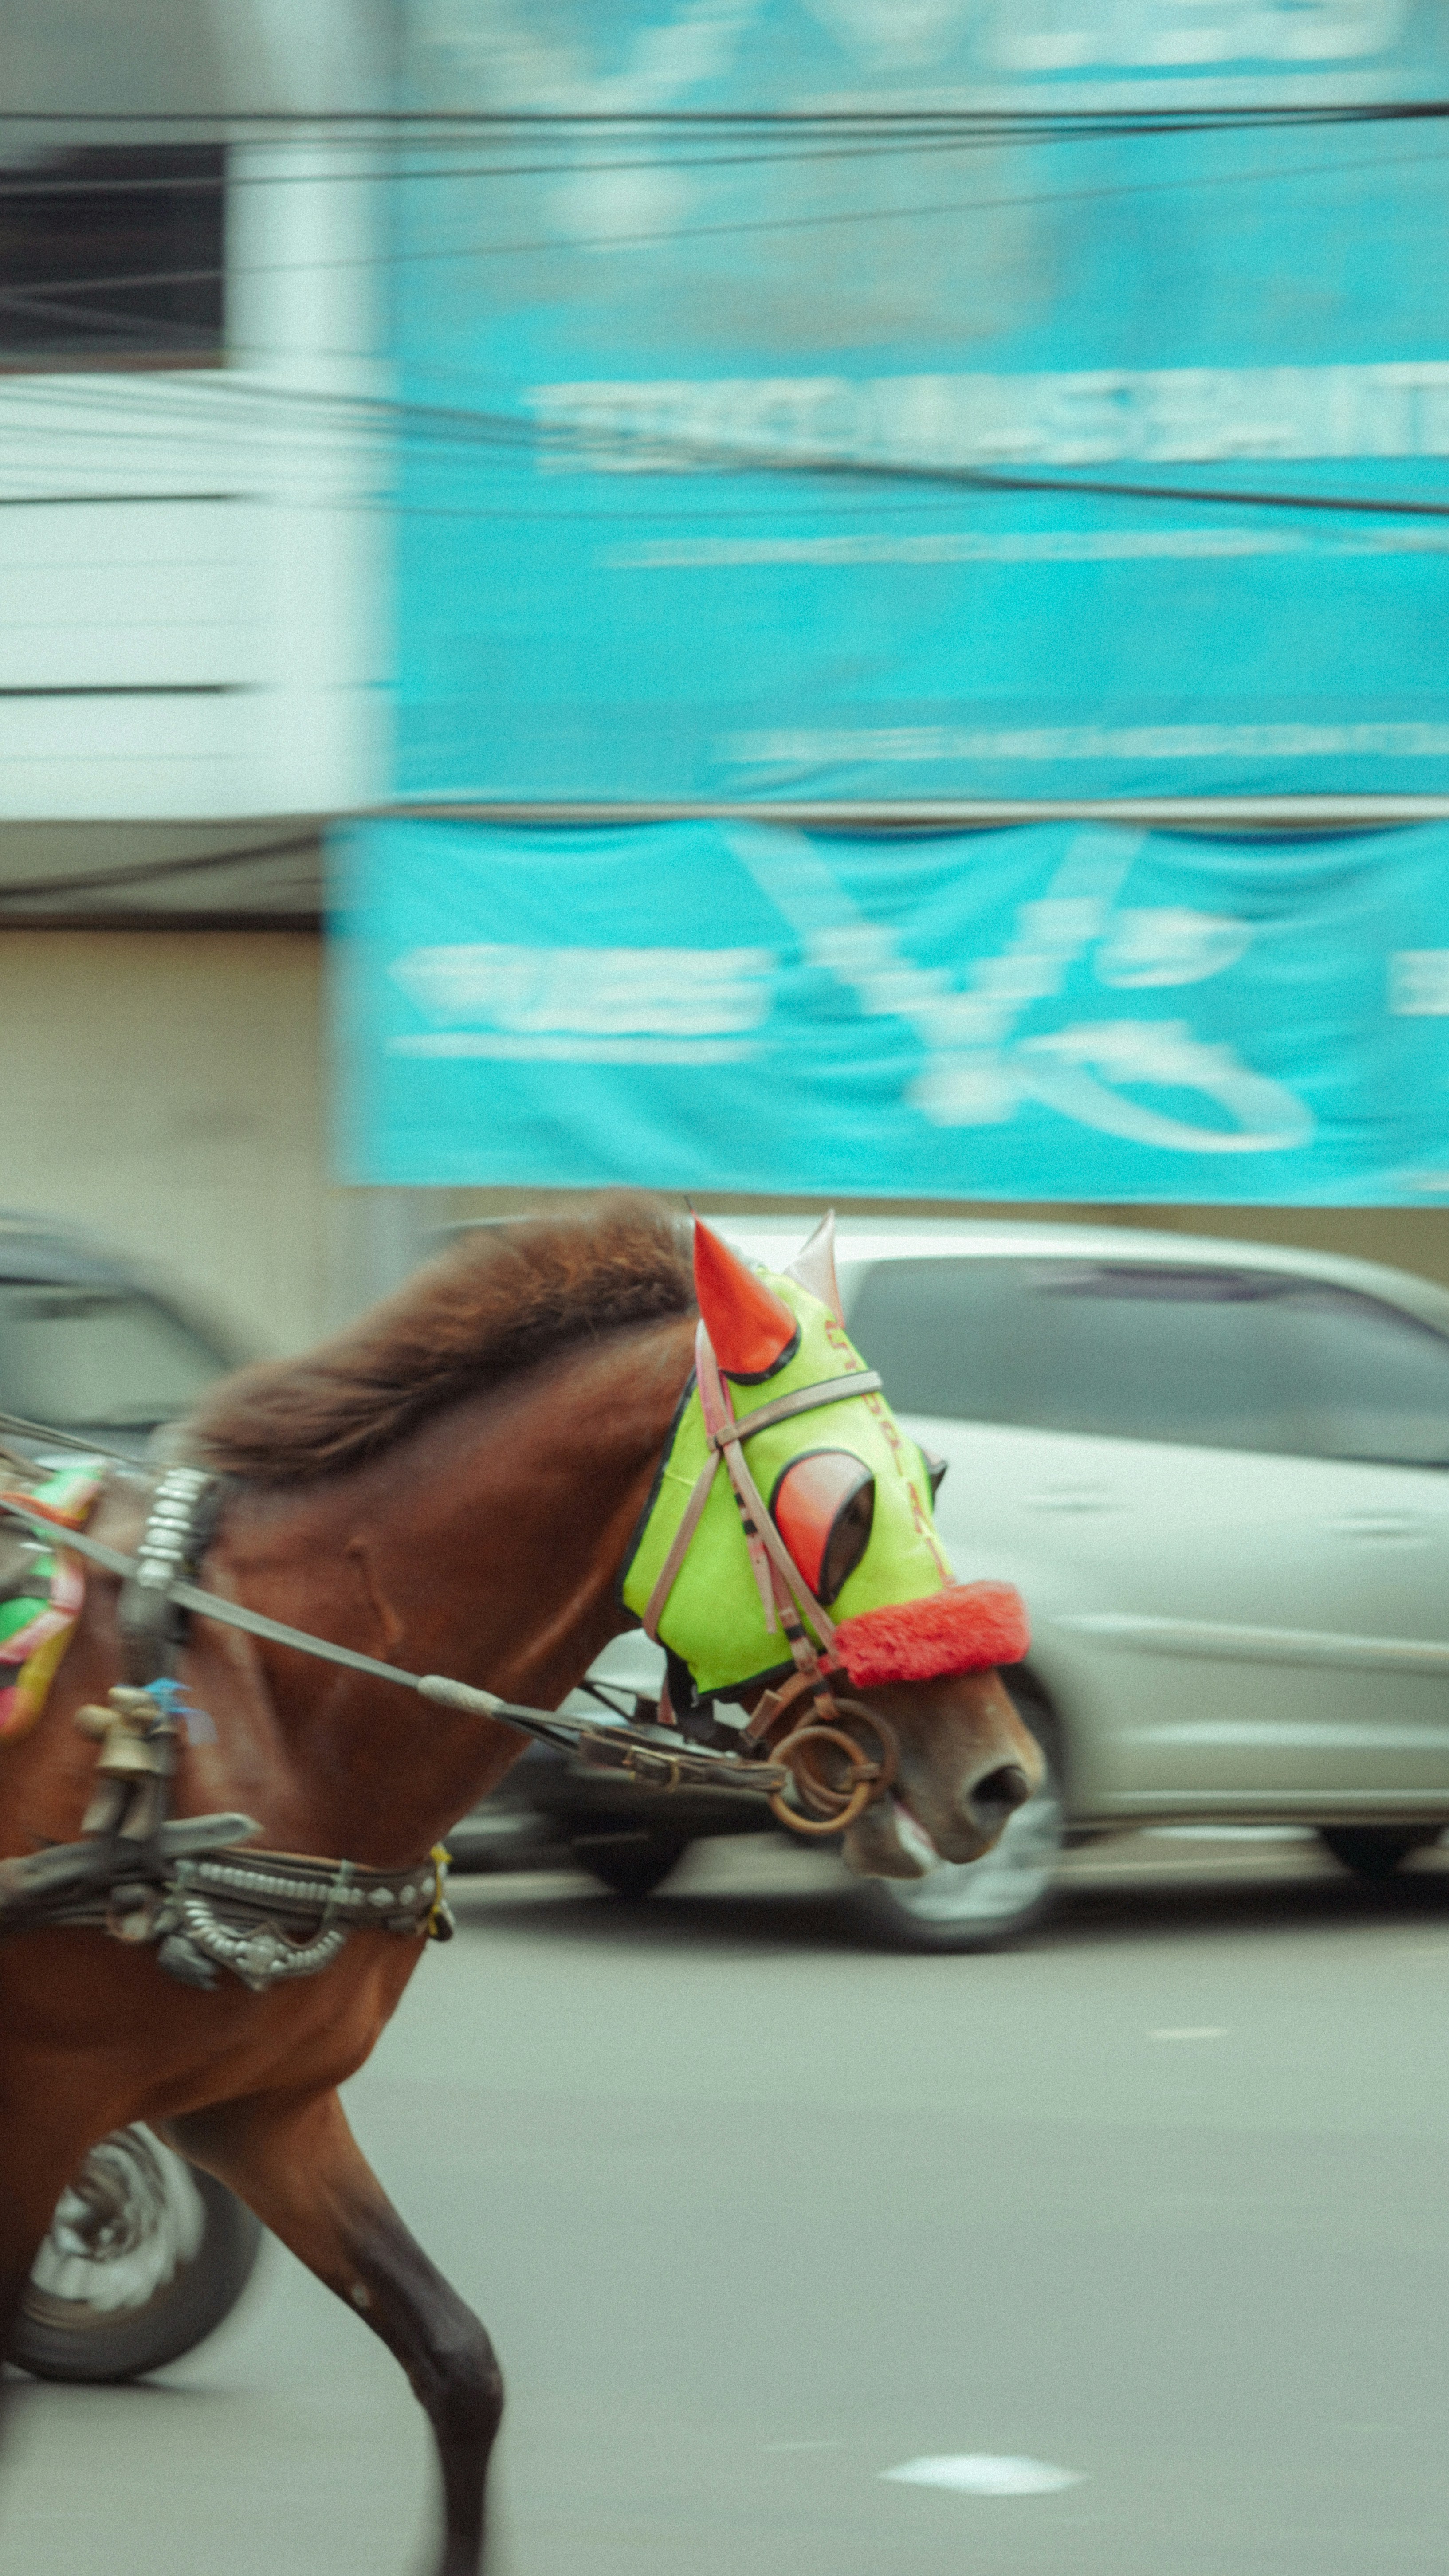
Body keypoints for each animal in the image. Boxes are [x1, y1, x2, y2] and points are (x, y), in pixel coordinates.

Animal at [0, 1197, 1040, 2575]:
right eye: (843, 1510)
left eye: (931, 1476)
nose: (1001, 1775)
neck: (254, 1700)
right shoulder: (48, 2100)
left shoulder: (257, 2106)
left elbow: (461, 2366)